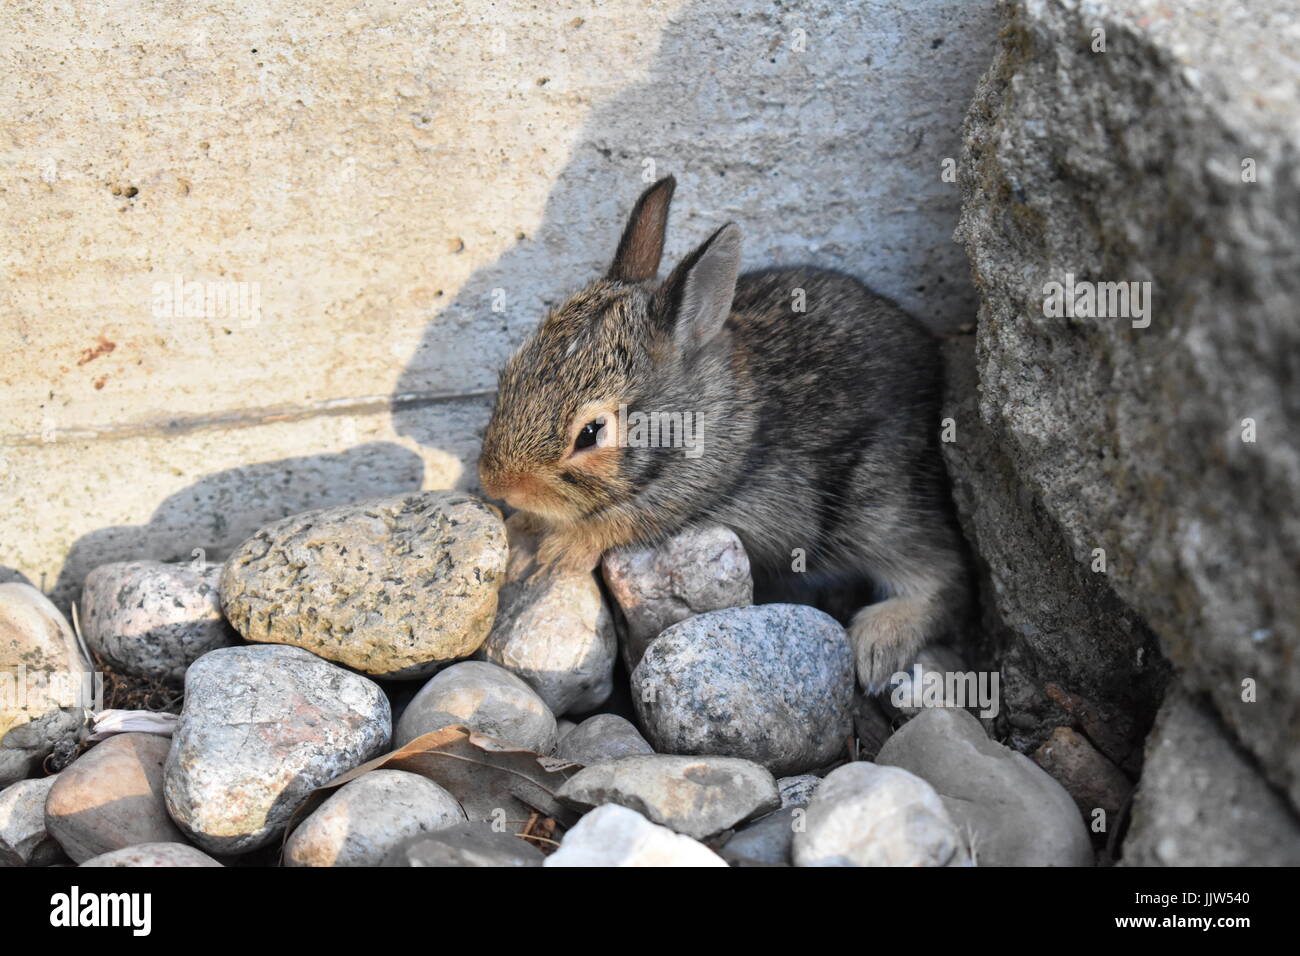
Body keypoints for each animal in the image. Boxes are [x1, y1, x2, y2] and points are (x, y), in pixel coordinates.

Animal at [478, 176, 970, 692]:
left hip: (879, 508)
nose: (498, 485)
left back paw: (877, 644)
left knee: (944, 575)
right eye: (510, 370)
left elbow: (617, 524)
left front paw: (552, 554)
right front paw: (524, 536)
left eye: (591, 433)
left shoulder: (690, 495)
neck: (697, 415)